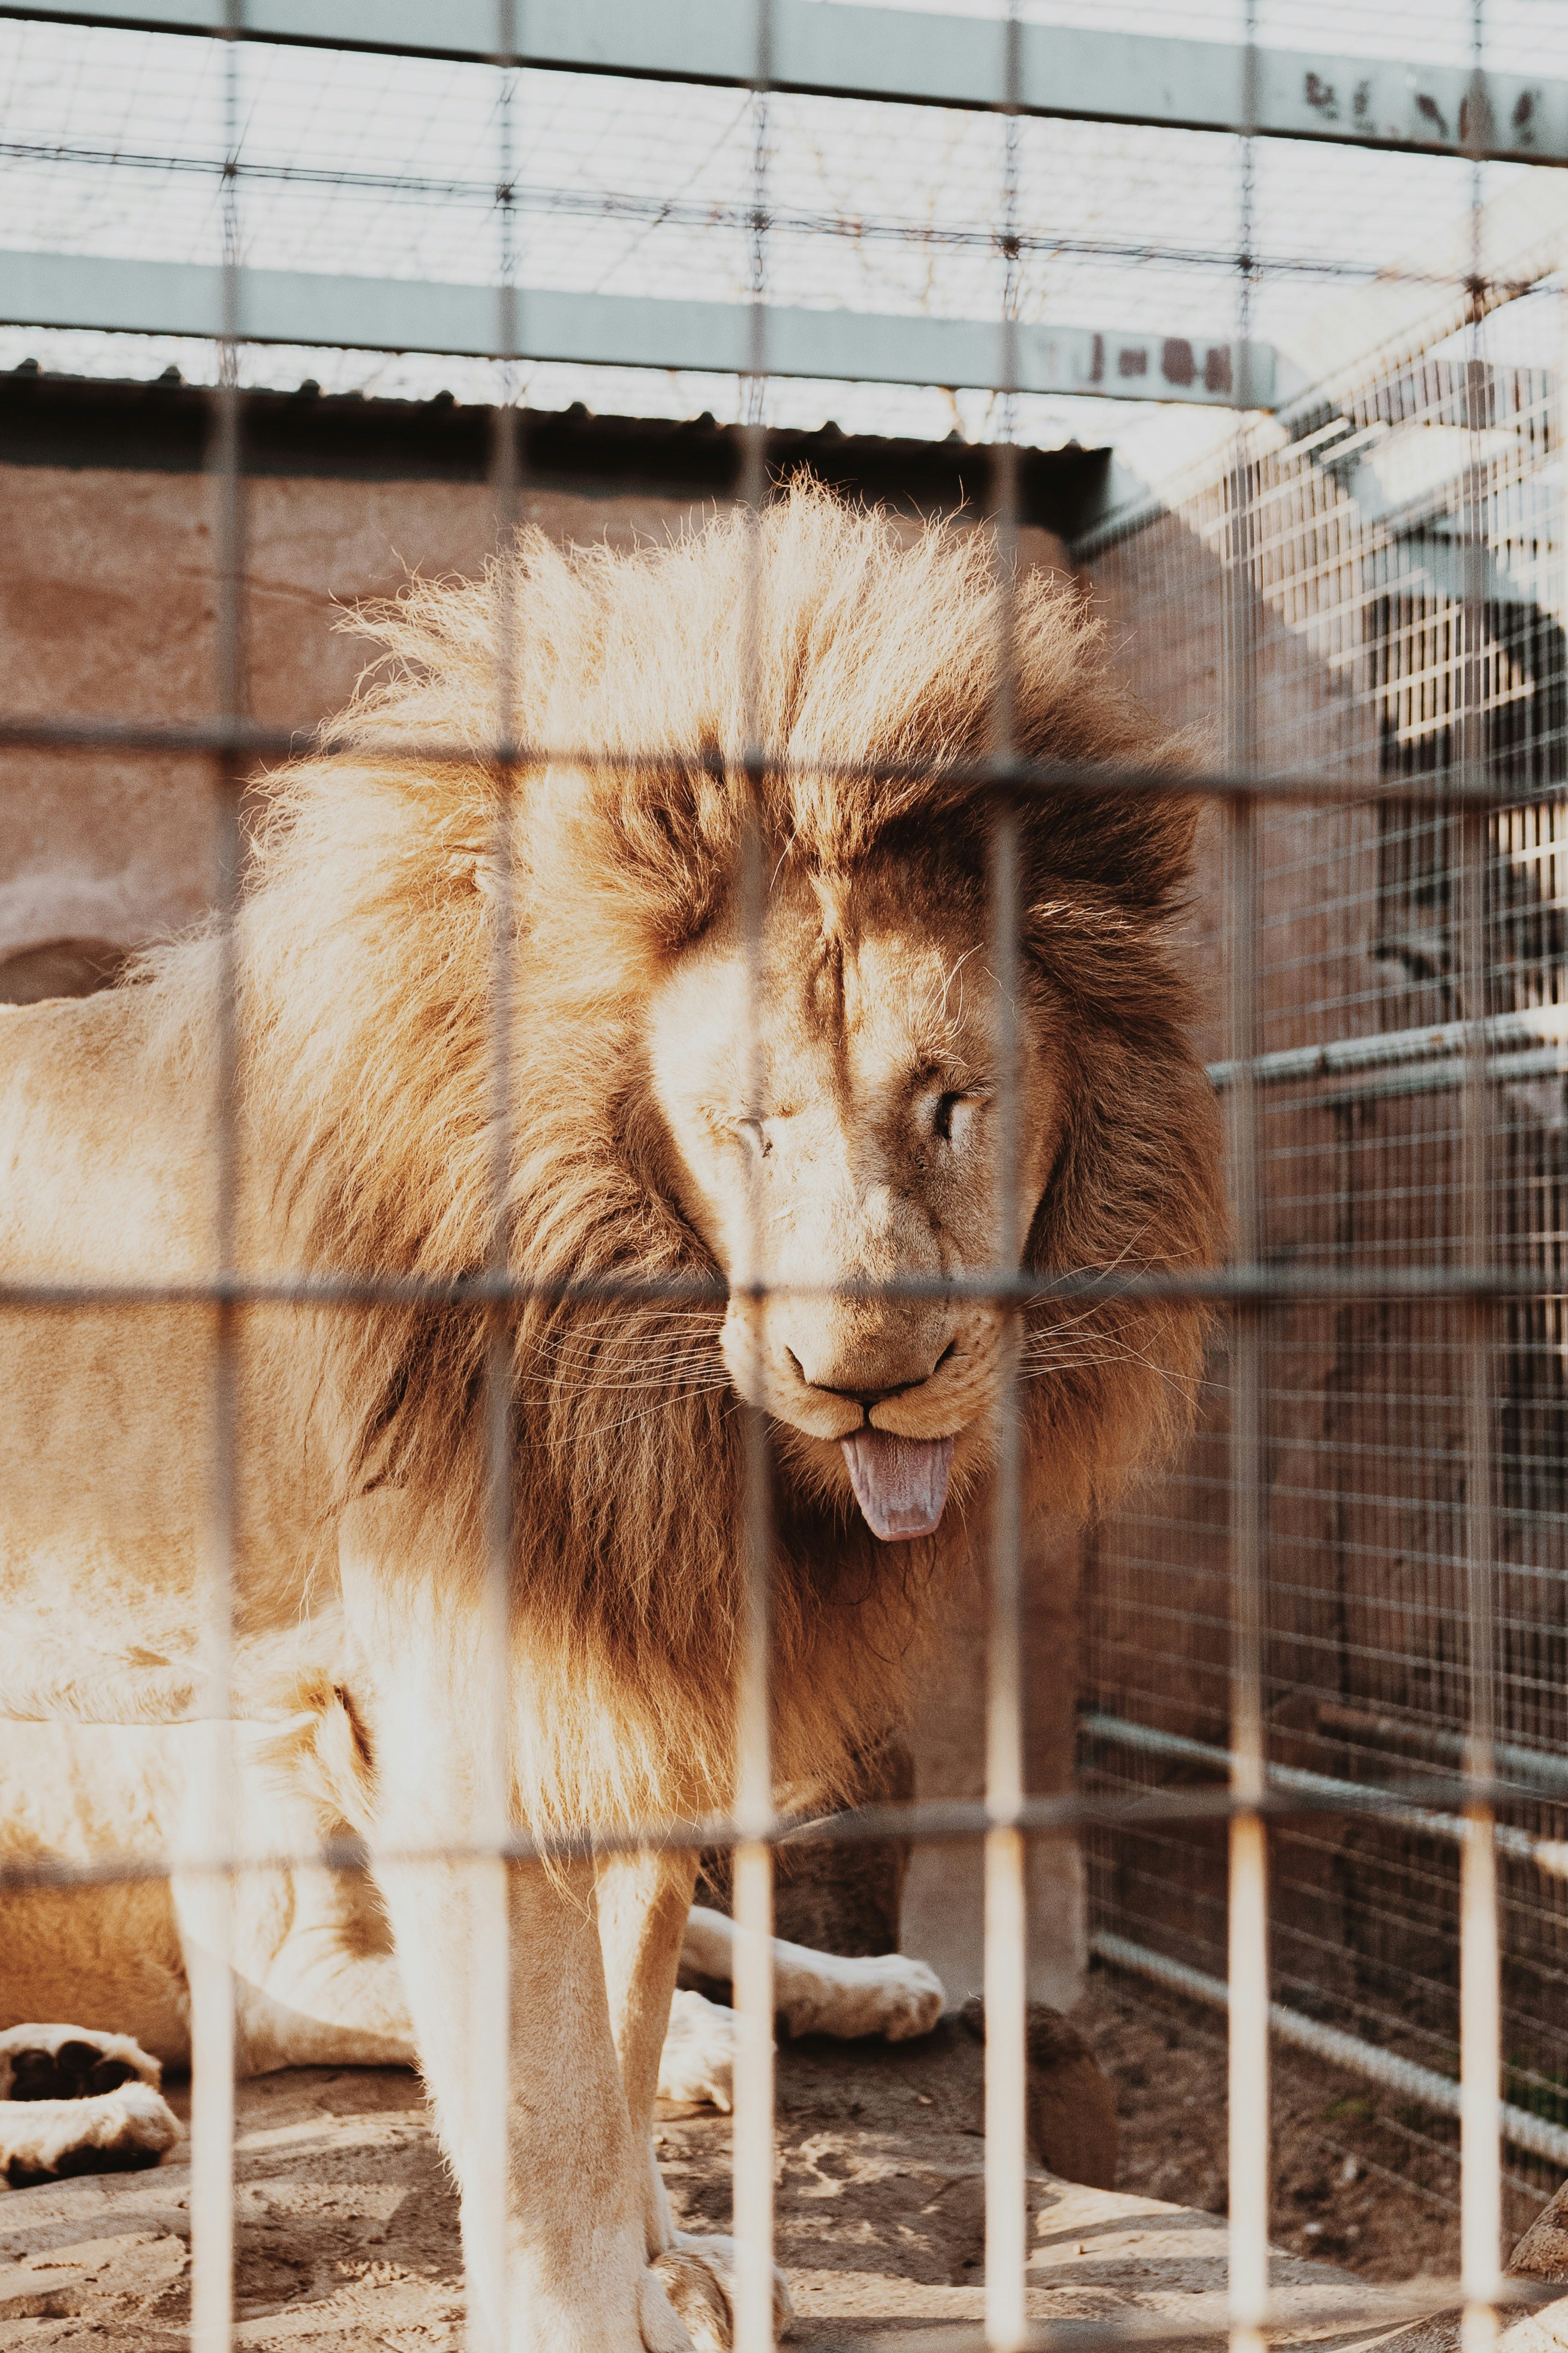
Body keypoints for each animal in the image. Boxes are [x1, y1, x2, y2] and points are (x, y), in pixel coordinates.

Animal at [0, 482, 1224, 2351]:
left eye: (951, 1101)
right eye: (747, 1123)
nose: (866, 1371)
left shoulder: (633, 1666)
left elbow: (626, 2015)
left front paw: (667, 2266)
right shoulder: (454, 1719)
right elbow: (540, 2091)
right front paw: (582, 2307)